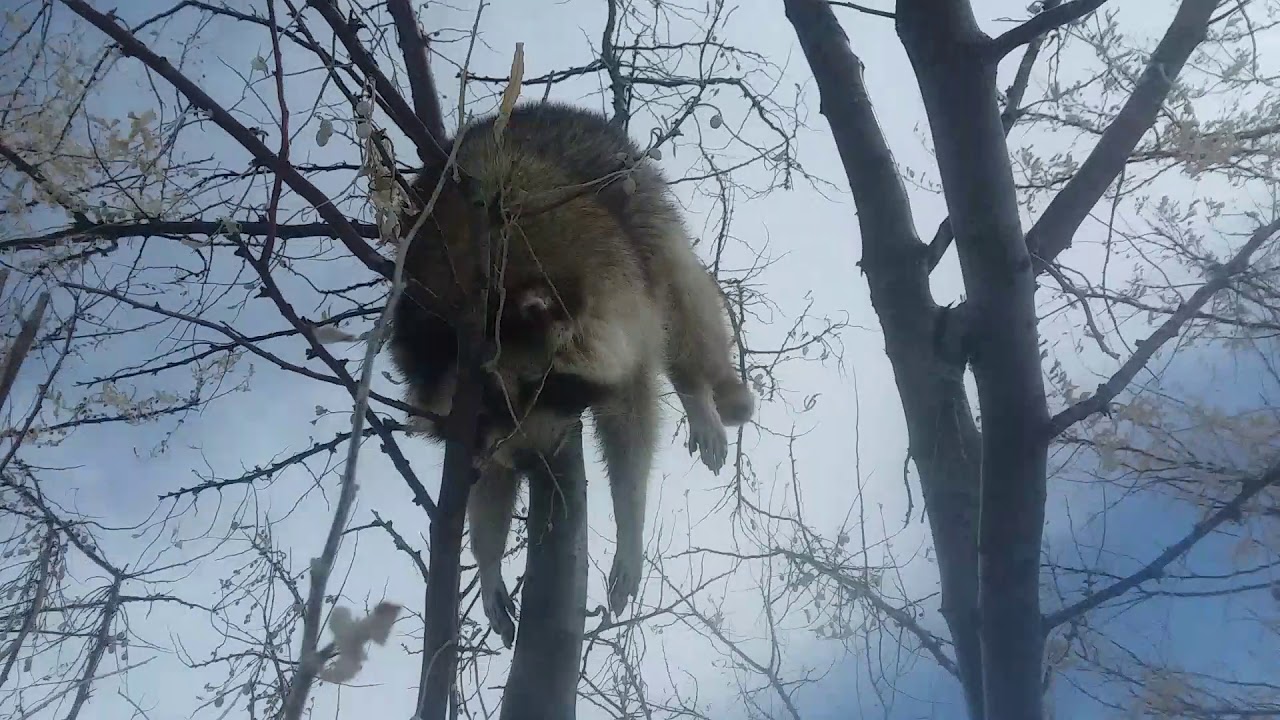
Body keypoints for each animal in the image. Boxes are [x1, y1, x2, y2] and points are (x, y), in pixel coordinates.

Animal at [388, 101, 754, 647]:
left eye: (545, 390)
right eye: (485, 414)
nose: (532, 464)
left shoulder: (611, 281)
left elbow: (633, 406)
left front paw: (630, 521)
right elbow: (485, 478)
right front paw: (488, 560)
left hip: (638, 196)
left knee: (681, 291)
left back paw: (700, 392)